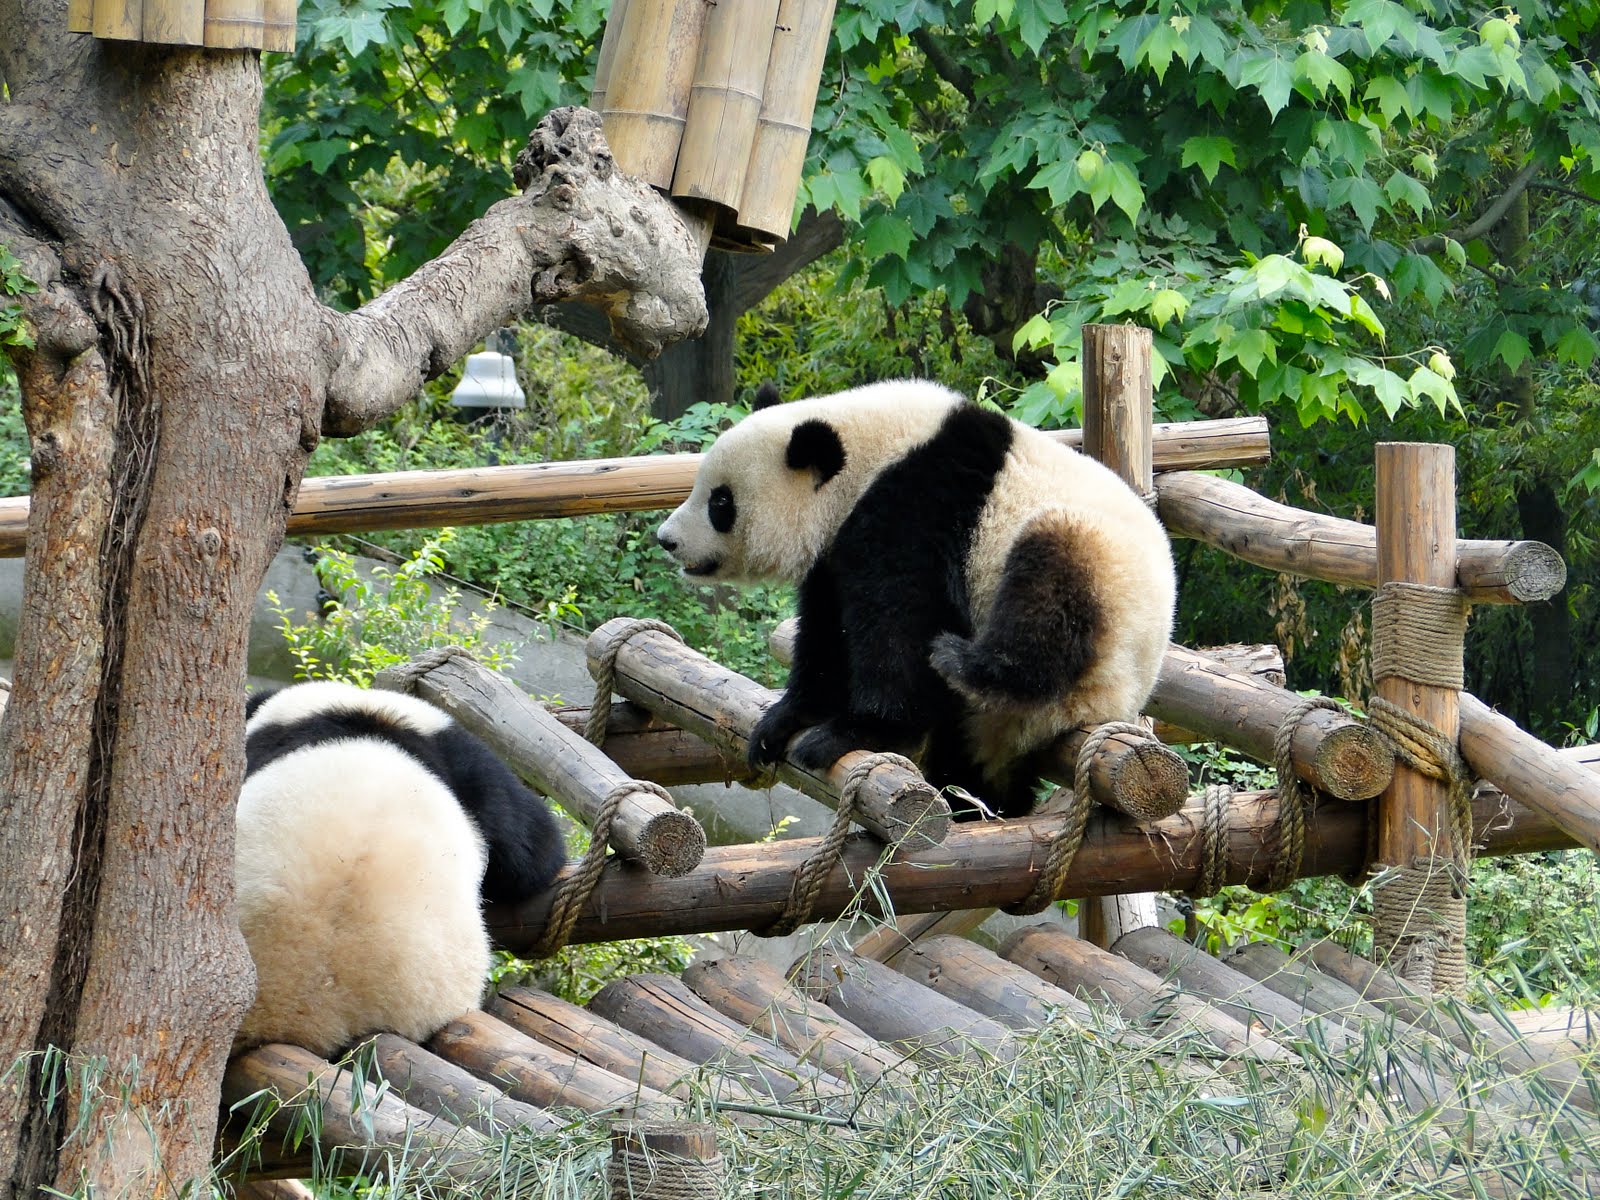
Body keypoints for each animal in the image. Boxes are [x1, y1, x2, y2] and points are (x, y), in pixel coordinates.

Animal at [655, 379, 1177, 818]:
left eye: (720, 502)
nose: (667, 540)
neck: (866, 464)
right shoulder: (838, 547)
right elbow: (827, 630)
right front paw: (781, 722)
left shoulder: (916, 511)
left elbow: (897, 626)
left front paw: (854, 732)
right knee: (969, 766)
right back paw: (982, 800)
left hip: (1099, 584)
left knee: (1049, 593)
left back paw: (967, 664)